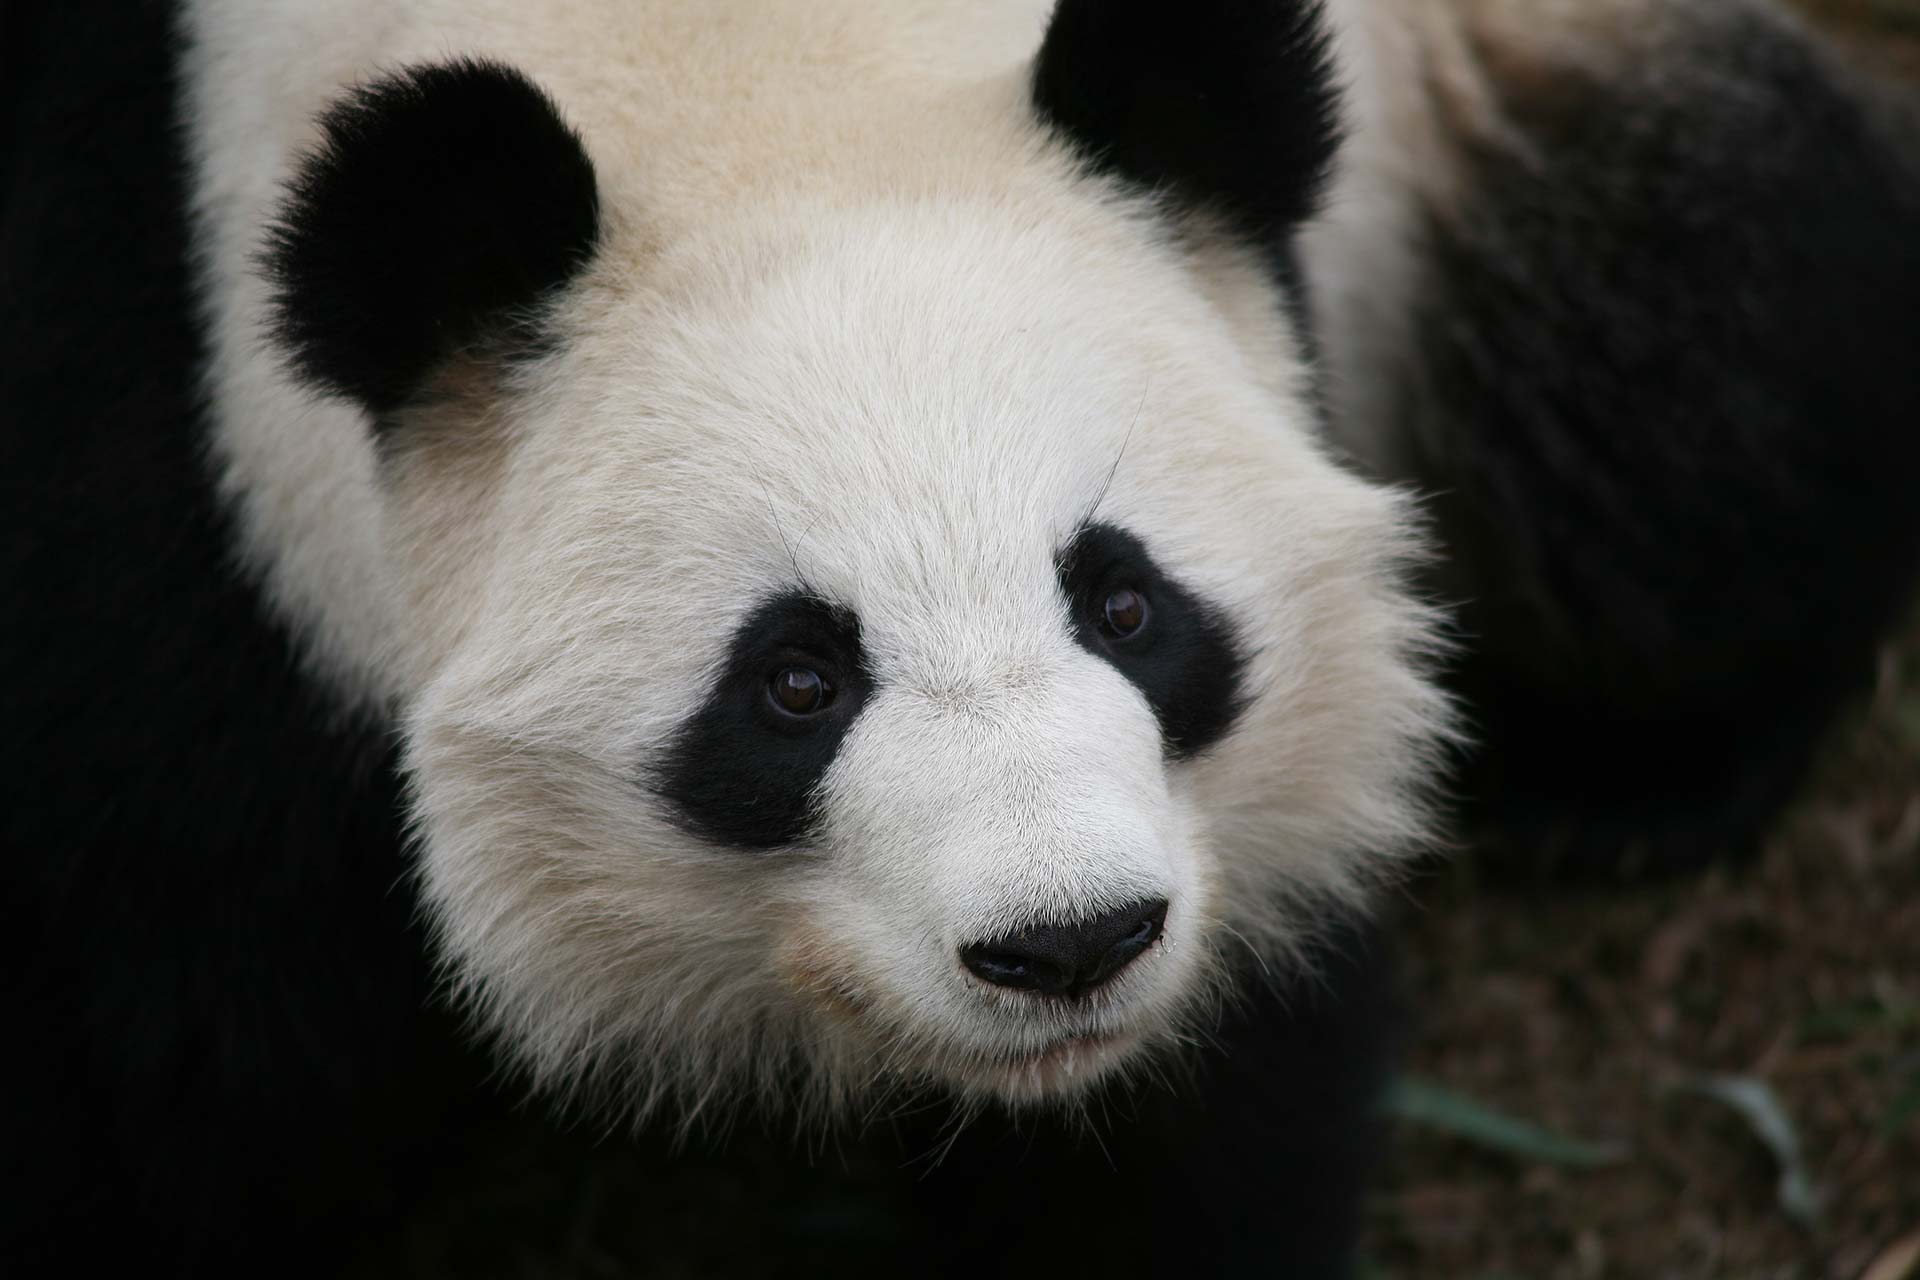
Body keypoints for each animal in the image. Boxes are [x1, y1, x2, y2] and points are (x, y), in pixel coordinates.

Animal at [4, 0, 1914, 1275]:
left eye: (1126, 603)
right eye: (794, 681)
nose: (1069, 945)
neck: (730, 72)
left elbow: (1208, 1128)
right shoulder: (160, 477)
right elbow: (183, 1070)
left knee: (1689, 334)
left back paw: (1641, 777)